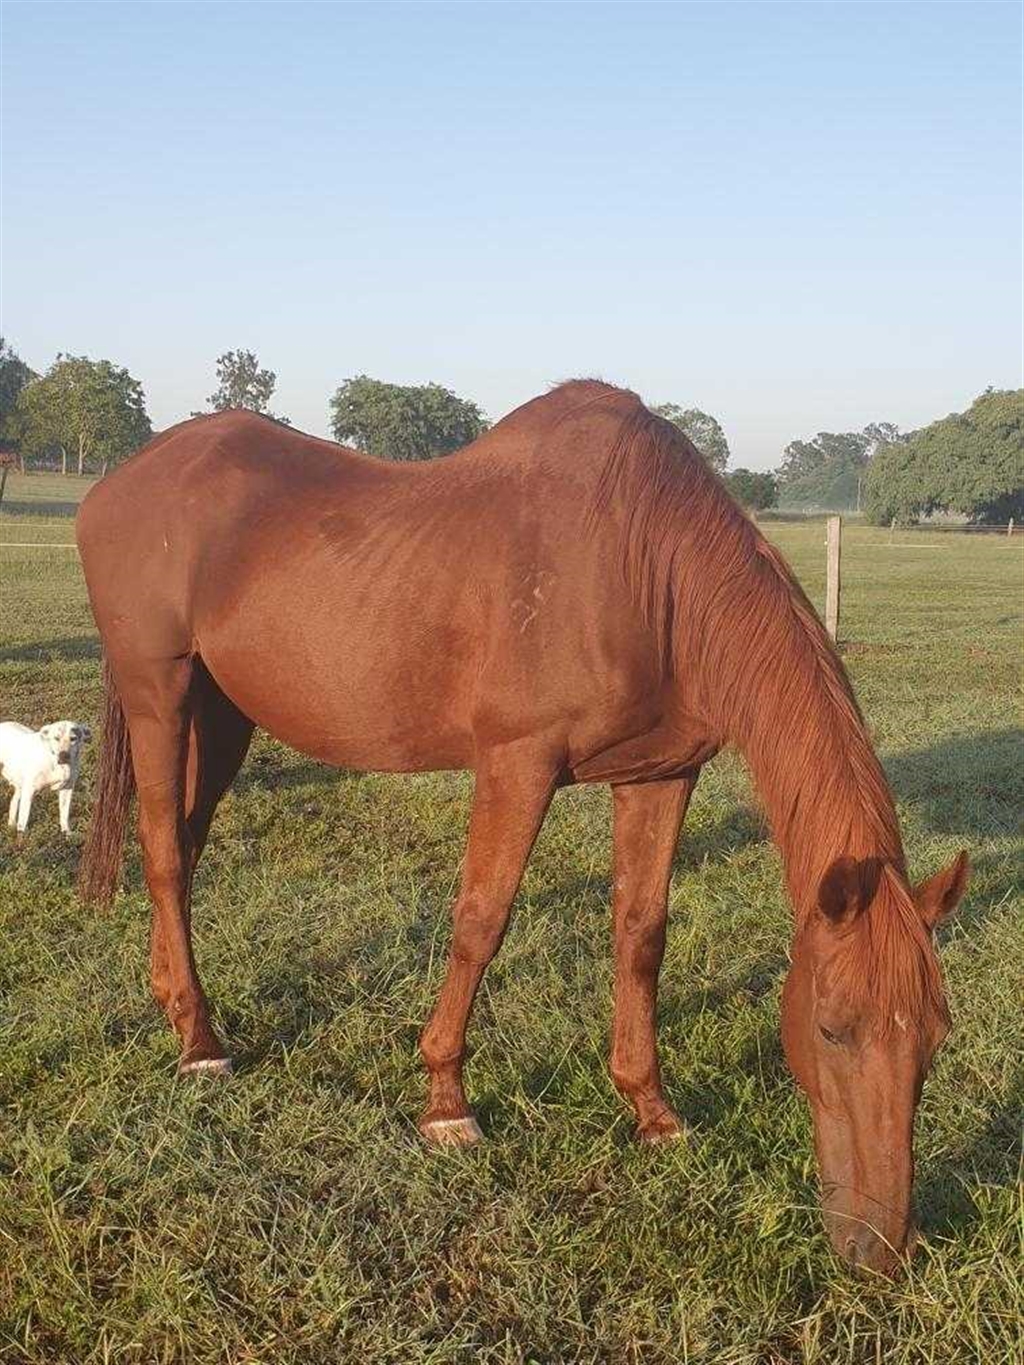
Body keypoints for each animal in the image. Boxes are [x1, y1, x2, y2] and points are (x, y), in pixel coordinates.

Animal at [75, 380, 968, 1275]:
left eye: (934, 1037)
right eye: (831, 1028)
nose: (881, 1246)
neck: (643, 566)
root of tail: (120, 481)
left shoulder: (660, 775)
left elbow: (641, 932)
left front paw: (651, 1107)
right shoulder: (518, 763)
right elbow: (481, 921)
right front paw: (446, 1104)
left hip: (226, 711)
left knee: (185, 847)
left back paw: (175, 1005)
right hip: (161, 692)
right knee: (163, 853)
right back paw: (200, 1041)